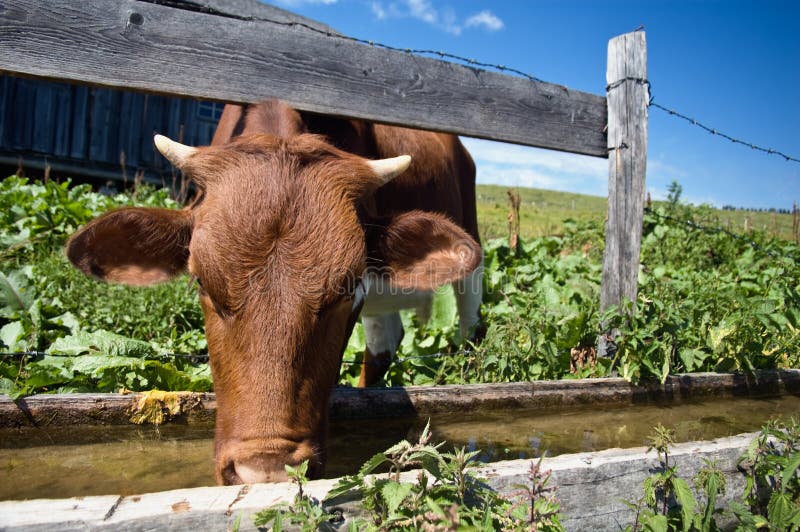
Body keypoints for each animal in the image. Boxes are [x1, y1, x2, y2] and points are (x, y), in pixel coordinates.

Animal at [66, 100, 483, 484]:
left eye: (346, 288)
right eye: (201, 281)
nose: (266, 472)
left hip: (473, 258)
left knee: (469, 327)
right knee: (384, 345)